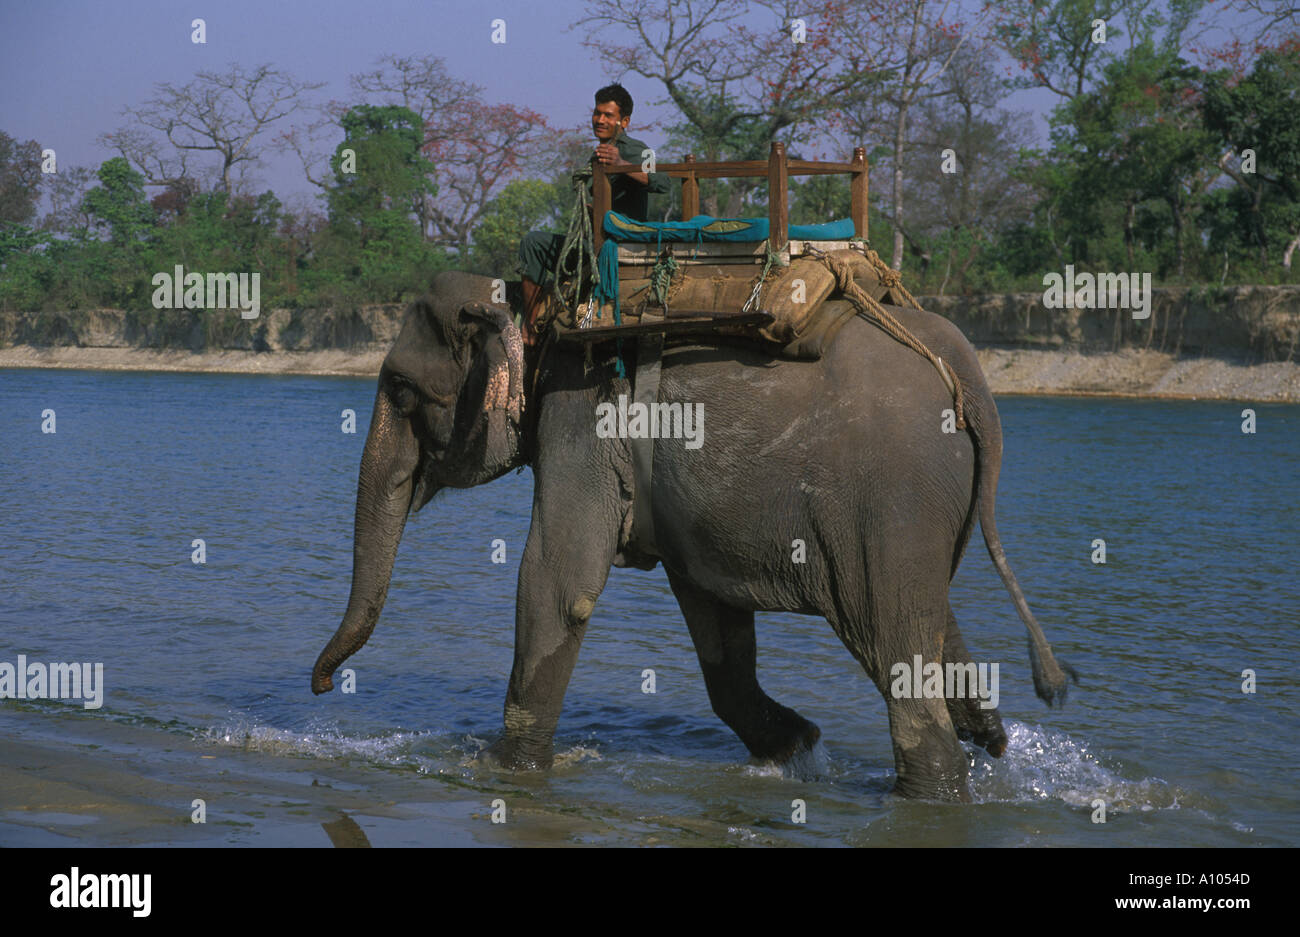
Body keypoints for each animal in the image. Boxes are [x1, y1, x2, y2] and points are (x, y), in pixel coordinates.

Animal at [311, 269, 1076, 801]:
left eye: (401, 390)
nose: (320, 686)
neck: (539, 306)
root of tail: (971, 379)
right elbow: (715, 621)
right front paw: (797, 746)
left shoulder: (581, 418)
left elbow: (556, 584)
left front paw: (505, 770)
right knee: (932, 630)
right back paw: (988, 737)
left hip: (890, 508)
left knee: (895, 652)